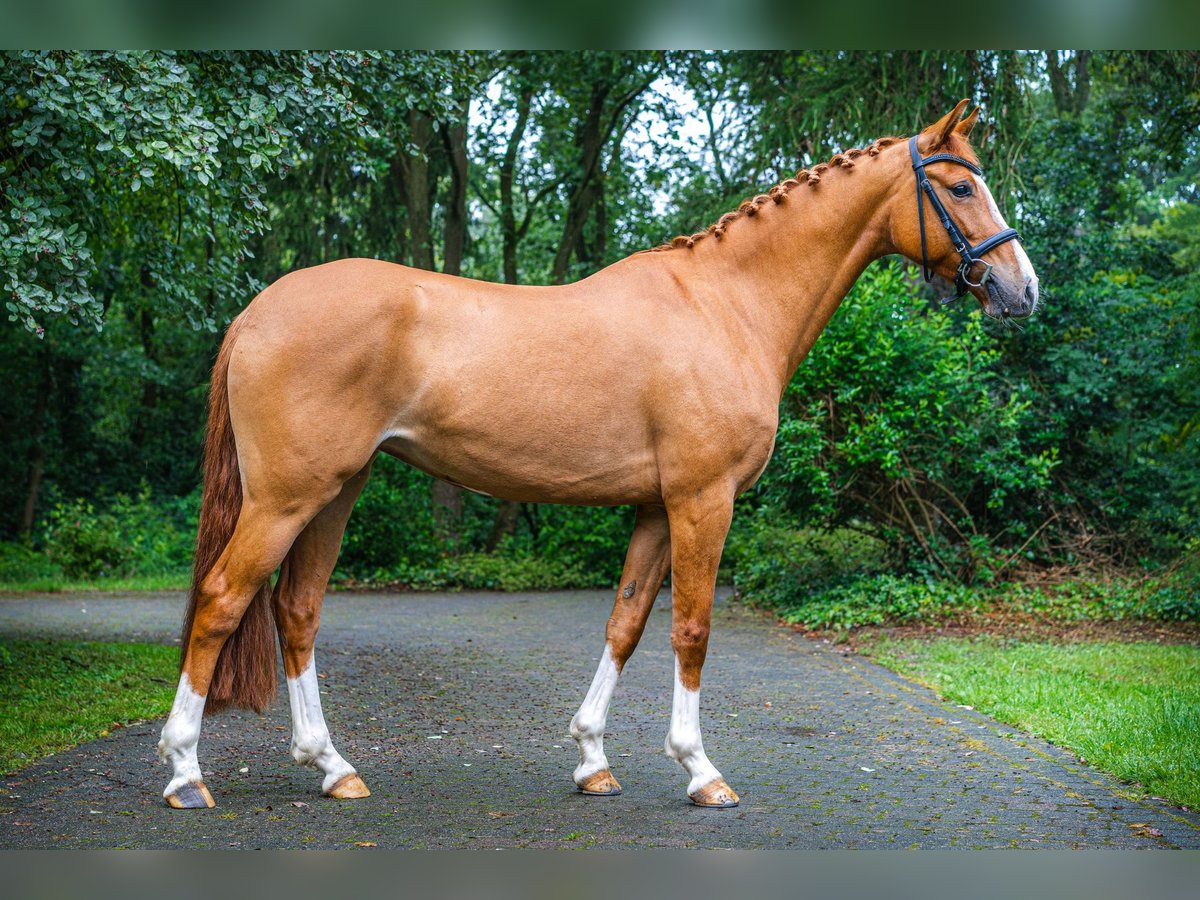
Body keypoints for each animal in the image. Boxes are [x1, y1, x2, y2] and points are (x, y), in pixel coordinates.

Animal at [157, 100, 1038, 810]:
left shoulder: (654, 505)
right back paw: (186, 773)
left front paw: (592, 761)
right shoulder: (702, 500)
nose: (1022, 288)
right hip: (286, 498)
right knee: (223, 600)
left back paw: (332, 767)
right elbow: (691, 628)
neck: (726, 304)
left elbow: (626, 622)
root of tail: (259, 310)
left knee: (297, 609)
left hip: (335, 491)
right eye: (961, 188)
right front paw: (701, 771)